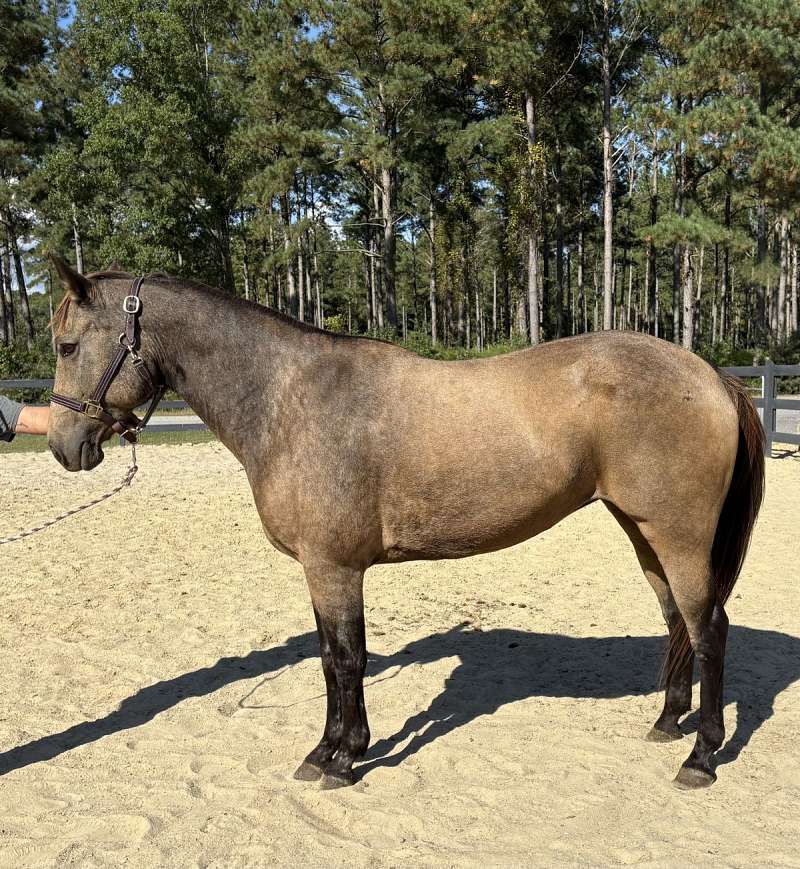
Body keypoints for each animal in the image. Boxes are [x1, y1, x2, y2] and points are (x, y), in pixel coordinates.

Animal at [46, 256, 764, 791]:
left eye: (68, 344)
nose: (62, 446)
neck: (290, 398)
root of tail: (711, 375)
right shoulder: (324, 570)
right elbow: (330, 658)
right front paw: (332, 749)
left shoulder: (334, 567)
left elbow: (345, 659)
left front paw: (340, 758)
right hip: (644, 532)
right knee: (676, 622)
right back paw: (667, 723)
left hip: (679, 536)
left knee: (709, 629)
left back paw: (700, 756)